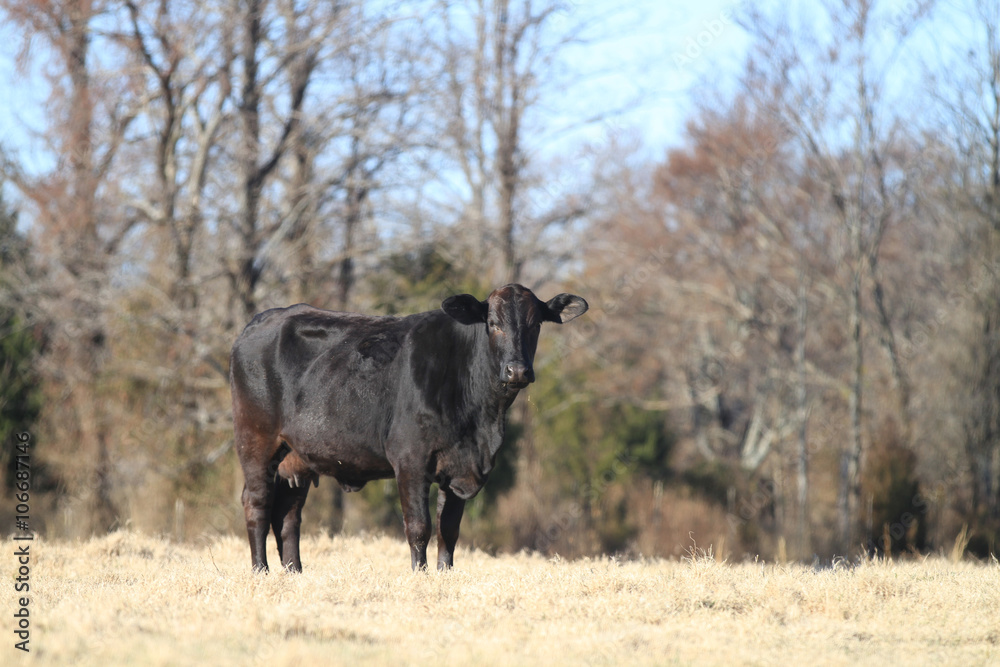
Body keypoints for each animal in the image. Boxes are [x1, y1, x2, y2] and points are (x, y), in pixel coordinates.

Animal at [229, 283, 588, 572]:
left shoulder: (458, 466)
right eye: (493, 324)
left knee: (287, 514)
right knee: (257, 503)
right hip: (255, 440)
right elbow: (419, 527)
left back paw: (294, 572)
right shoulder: (410, 459)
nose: (517, 370)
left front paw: (444, 574)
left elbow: (449, 530)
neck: (482, 423)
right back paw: (260, 571)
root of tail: (262, 320)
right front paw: (420, 574)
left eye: (535, 324)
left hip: (295, 457)